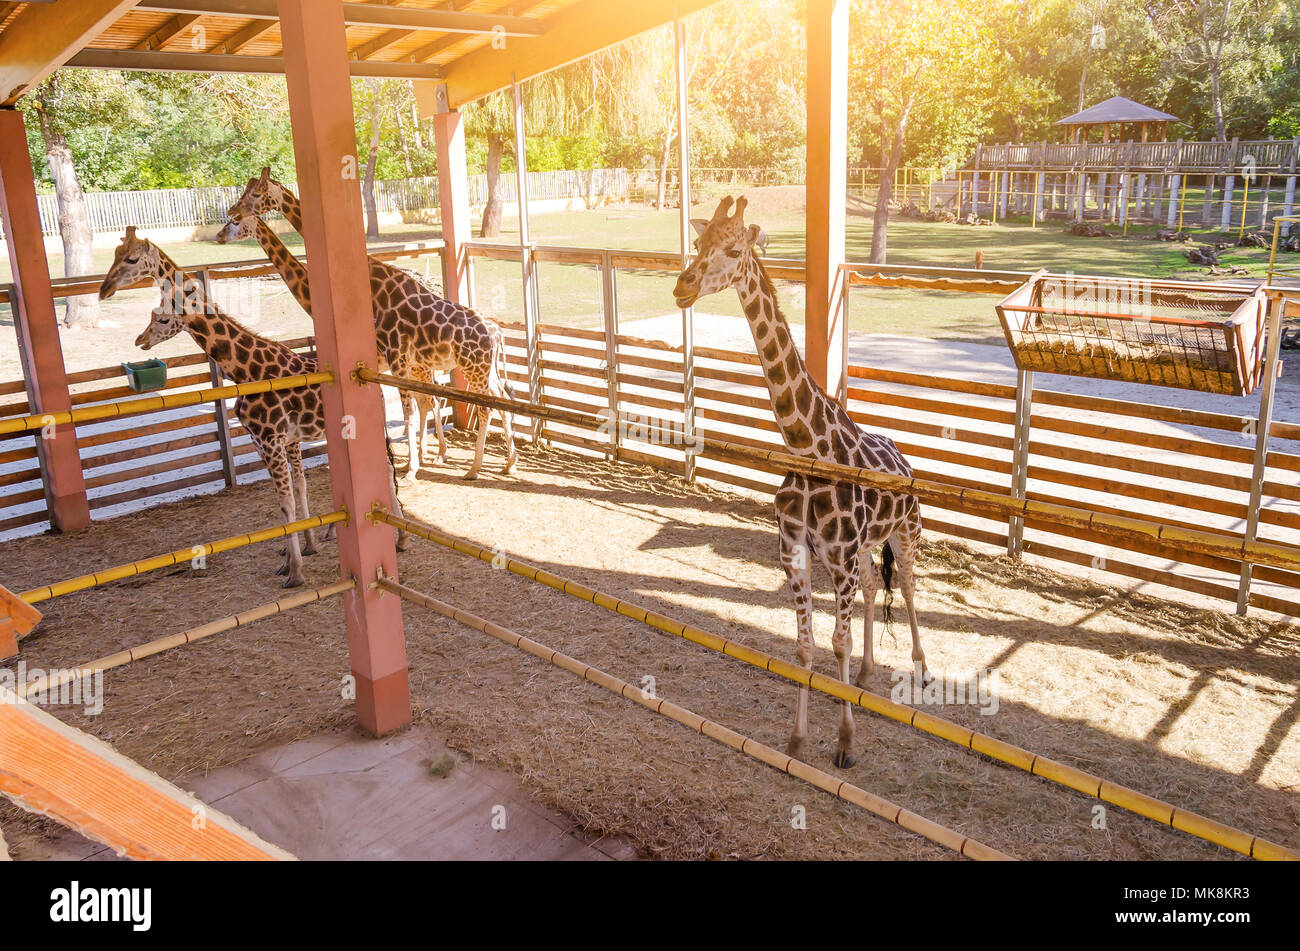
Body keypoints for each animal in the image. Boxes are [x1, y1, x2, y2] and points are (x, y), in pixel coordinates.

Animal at [98, 227, 407, 586]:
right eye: (116, 254)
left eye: (132, 258)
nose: (140, 340)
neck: (245, 371)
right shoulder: (262, 441)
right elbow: (285, 500)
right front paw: (292, 558)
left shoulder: (273, 440)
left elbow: (287, 502)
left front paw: (296, 572)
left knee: (386, 468)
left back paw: (398, 537)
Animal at [223, 168, 519, 482]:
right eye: (244, 191)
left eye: (256, 193)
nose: (232, 212)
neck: (375, 282)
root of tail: (496, 333)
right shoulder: (391, 362)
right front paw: (409, 463)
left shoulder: (397, 359)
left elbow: (408, 412)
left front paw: (411, 469)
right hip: (480, 369)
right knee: (498, 398)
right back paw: (506, 463)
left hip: (473, 368)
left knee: (485, 407)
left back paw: (473, 468)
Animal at [672, 196, 930, 769]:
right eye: (697, 242)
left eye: (733, 250)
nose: (681, 286)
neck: (805, 445)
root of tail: (905, 460)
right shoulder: (797, 551)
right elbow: (806, 645)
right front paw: (796, 740)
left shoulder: (838, 555)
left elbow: (836, 642)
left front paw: (846, 743)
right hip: (862, 550)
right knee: (876, 585)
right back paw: (866, 675)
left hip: (907, 531)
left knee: (905, 584)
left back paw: (923, 670)